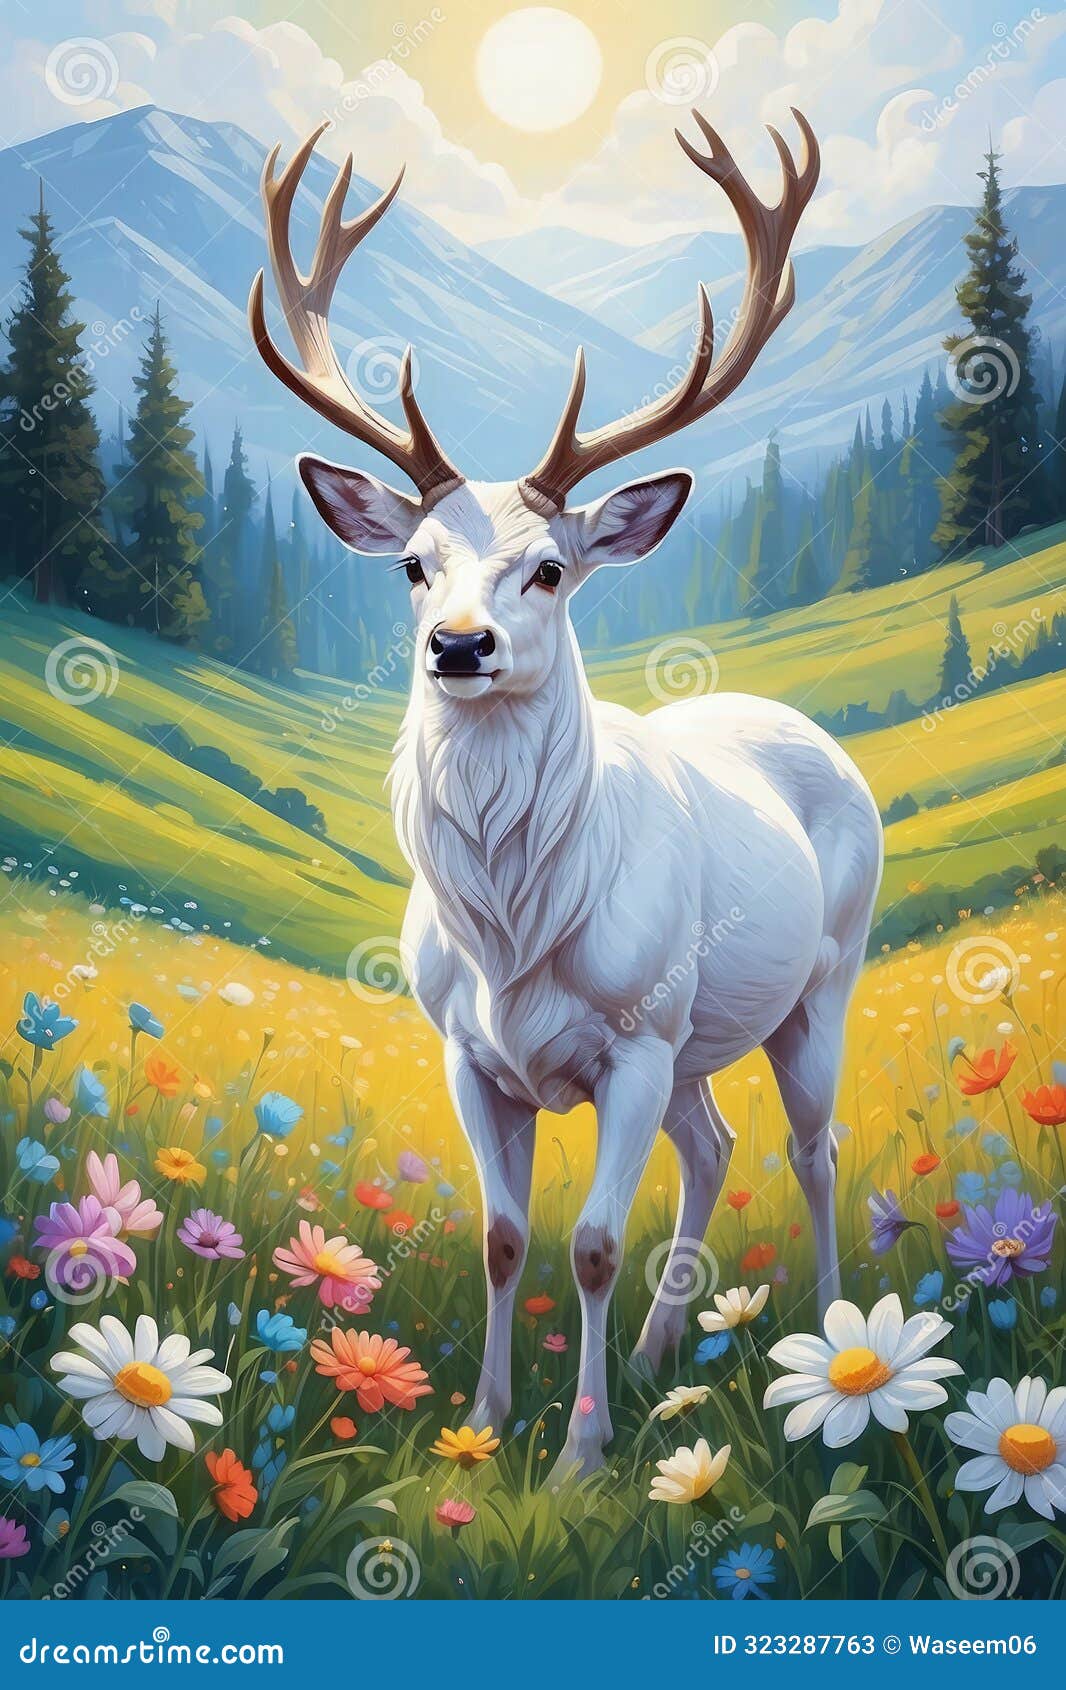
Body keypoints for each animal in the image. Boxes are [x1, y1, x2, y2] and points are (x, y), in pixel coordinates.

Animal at [249, 109, 883, 1478]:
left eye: (547, 567)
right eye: (411, 566)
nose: (460, 644)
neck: (513, 930)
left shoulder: (634, 1042)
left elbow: (590, 1242)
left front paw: (584, 1457)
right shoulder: (465, 1049)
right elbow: (502, 1237)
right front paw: (485, 1424)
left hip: (819, 980)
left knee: (810, 1147)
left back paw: (826, 1333)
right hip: (701, 1035)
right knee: (717, 1143)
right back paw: (653, 1359)